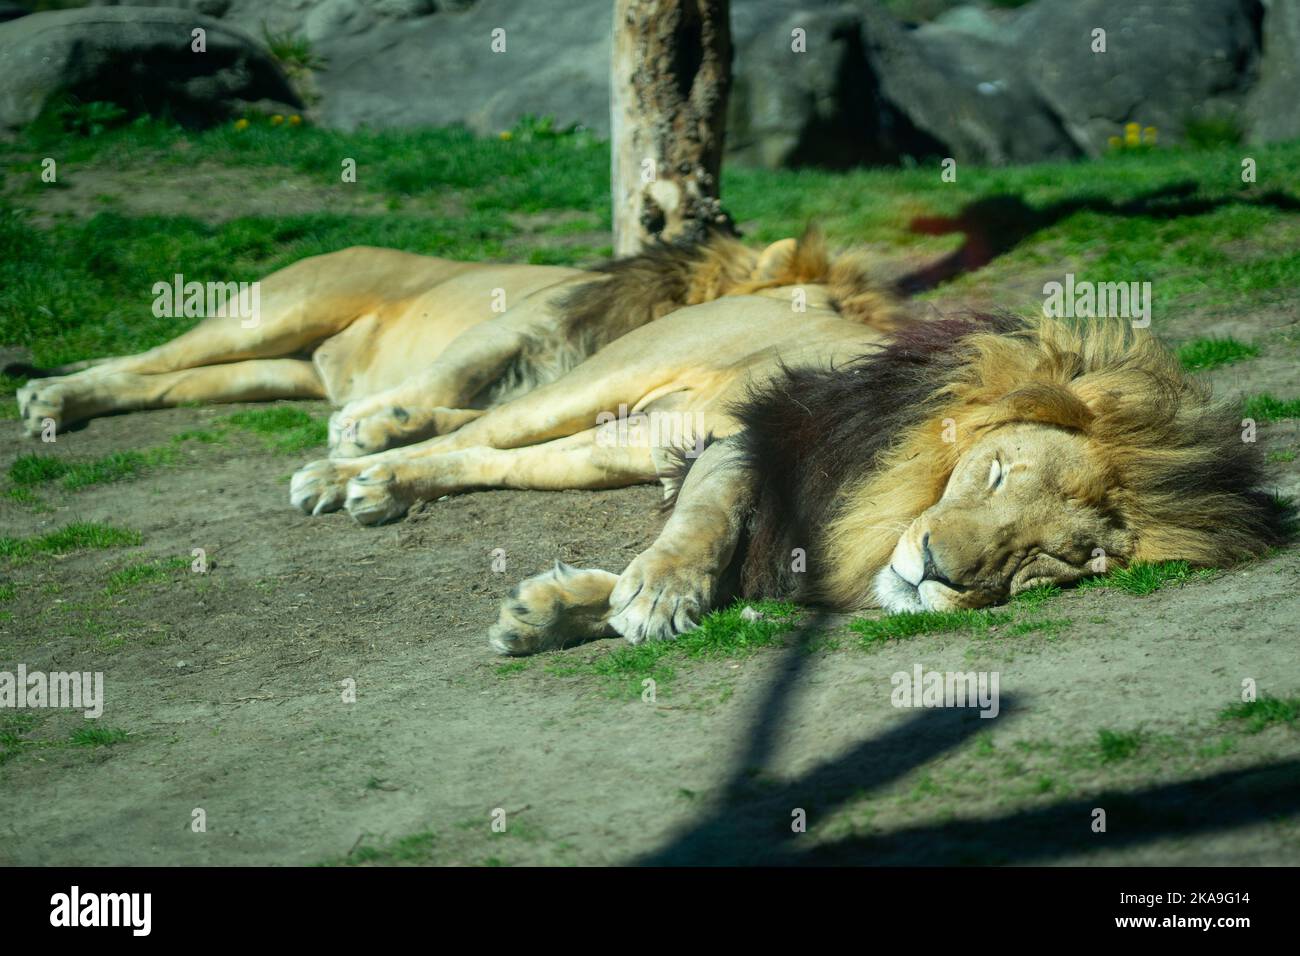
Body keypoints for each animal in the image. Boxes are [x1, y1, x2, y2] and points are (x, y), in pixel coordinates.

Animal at [279, 287, 1285, 654]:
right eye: (998, 474)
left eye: (1063, 561)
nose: (939, 571)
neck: (893, 495)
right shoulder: (753, 437)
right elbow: (704, 524)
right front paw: (655, 595)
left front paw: (554, 611)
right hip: (607, 386)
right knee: (490, 424)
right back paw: (353, 461)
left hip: (617, 443)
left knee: (491, 452)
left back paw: (375, 477)